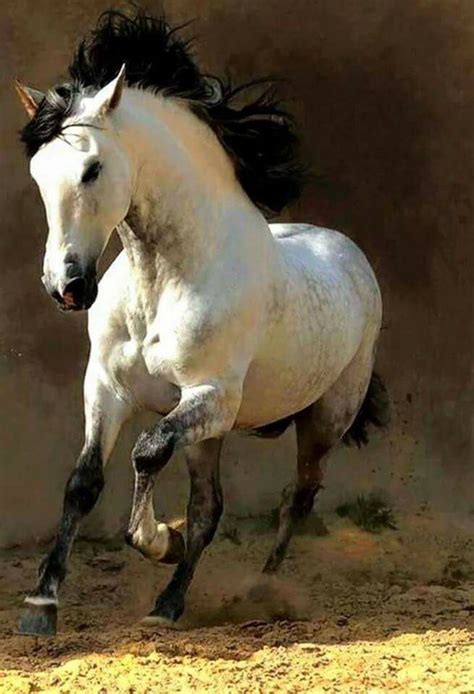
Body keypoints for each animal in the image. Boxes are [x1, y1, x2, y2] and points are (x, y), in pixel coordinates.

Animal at [15, 10, 388, 636]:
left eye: (92, 169)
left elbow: (145, 452)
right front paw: (41, 605)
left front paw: (159, 538)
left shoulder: (210, 395)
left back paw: (253, 590)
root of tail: (350, 255)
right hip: (209, 434)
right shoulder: (106, 387)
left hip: (322, 419)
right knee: (211, 506)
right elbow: (83, 482)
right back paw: (171, 600)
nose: (66, 286)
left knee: (297, 497)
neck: (163, 281)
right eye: (40, 174)